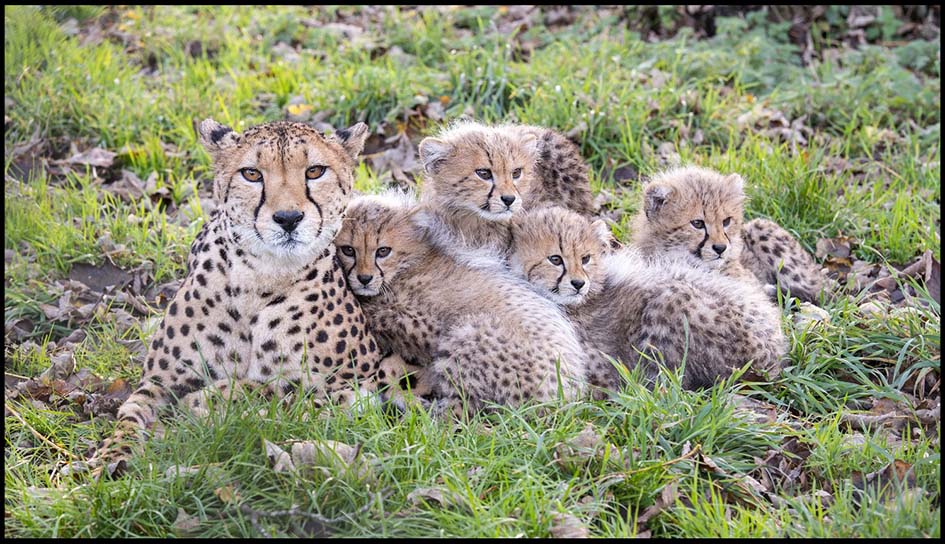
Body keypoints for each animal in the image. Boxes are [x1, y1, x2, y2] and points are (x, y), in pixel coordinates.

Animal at [88, 119, 413, 476]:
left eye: (314, 171)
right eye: (252, 174)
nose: (288, 218)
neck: (260, 279)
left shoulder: (357, 381)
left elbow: (280, 391)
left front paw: (205, 403)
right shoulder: (159, 383)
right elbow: (129, 416)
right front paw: (110, 459)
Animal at [334, 190, 589, 418]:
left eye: (382, 251)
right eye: (348, 250)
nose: (364, 278)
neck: (409, 264)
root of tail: (563, 398)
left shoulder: (418, 323)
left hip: (464, 333)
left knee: (461, 411)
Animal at [509, 206, 787, 395]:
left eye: (586, 259)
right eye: (555, 259)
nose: (579, 283)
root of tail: (774, 354)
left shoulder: (601, 370)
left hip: (670, 301)